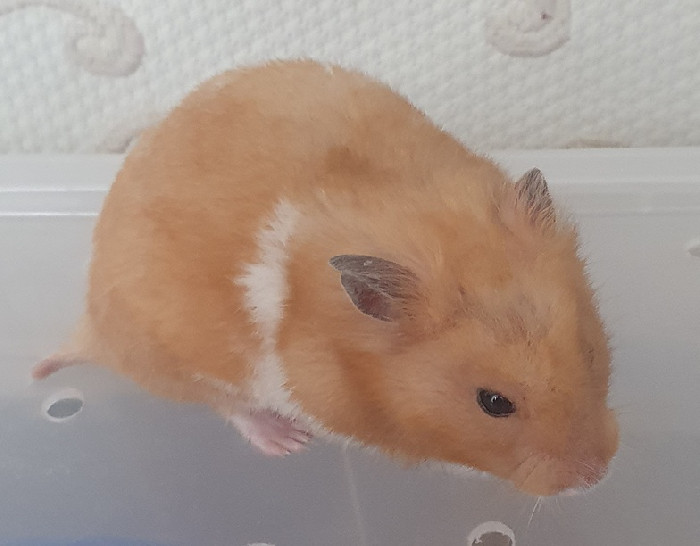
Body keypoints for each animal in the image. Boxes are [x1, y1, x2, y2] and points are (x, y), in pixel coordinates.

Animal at [34, 59, 618, 497]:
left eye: (589, 349)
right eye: (493, 403)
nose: (596, 476)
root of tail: (91, 322)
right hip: (176, 358)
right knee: (226, 404)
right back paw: (286, 441)